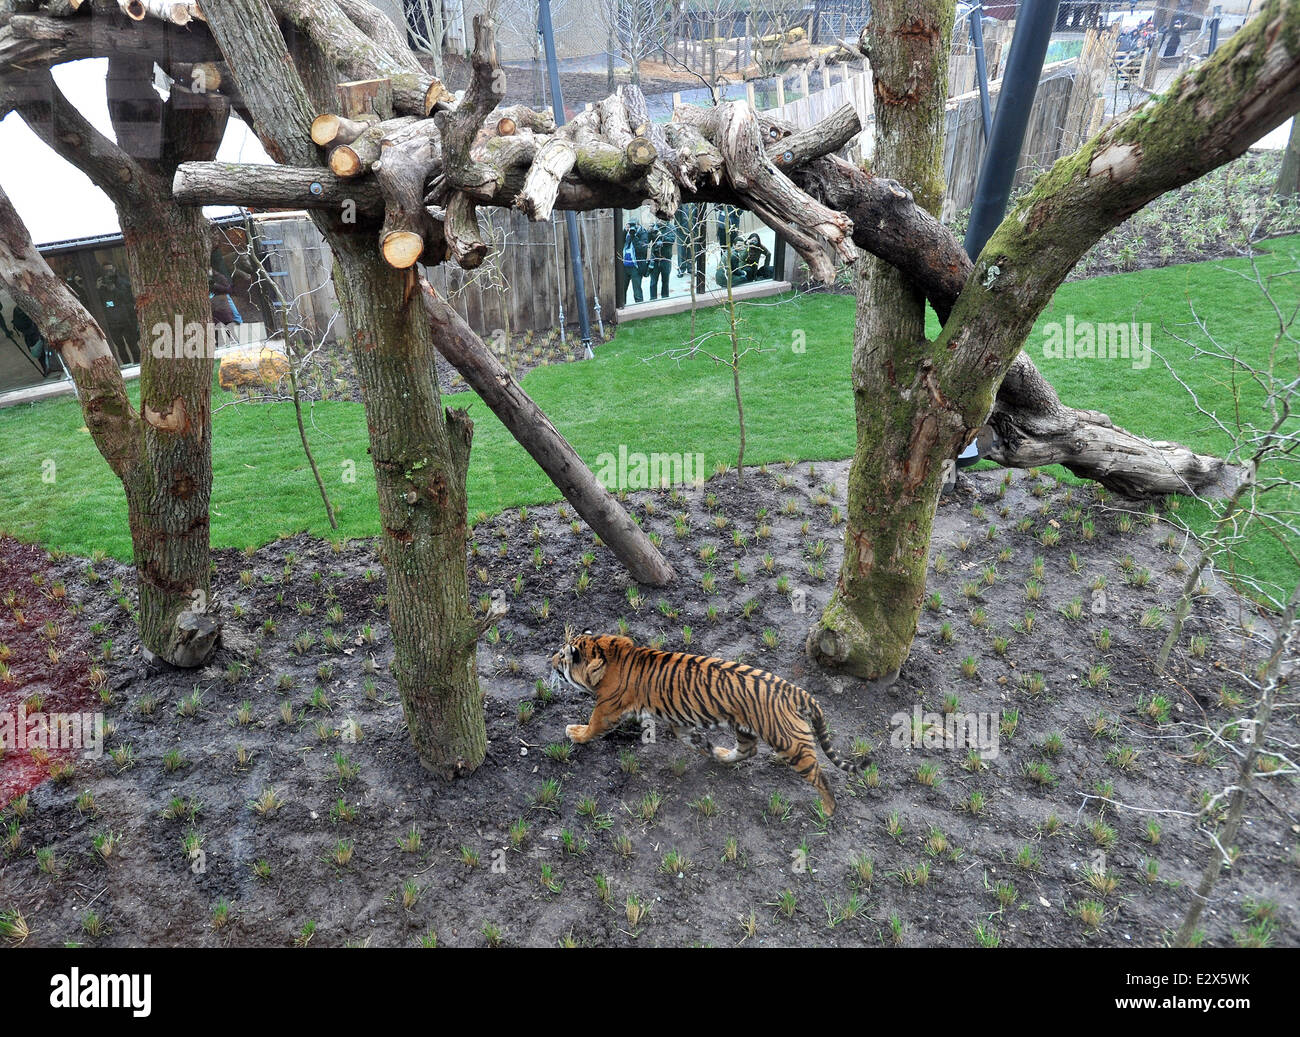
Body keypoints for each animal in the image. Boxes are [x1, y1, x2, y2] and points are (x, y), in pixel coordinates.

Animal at [548, 632, 865, 815]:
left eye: (563, 656)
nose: (550, 660)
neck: (611, 655)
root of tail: (794, 689)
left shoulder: (608, 708)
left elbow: (593, 724)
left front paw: (575, 733)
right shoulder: (677, 720)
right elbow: (687, 736)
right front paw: (705, 747)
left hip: (789, 742)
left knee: (819, 775)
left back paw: (828, 809)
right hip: (745, 726)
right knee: (748, 750)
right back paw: (722, 756)